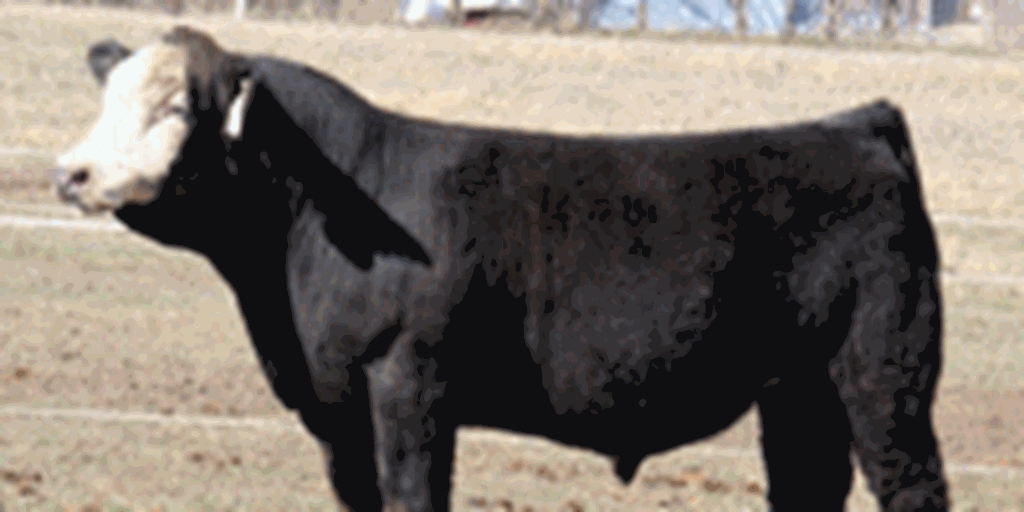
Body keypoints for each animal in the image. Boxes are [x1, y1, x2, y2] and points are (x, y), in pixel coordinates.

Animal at [51, 26, 949, 511]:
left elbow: (414, 493)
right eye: (107, 97)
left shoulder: (409, 380)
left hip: (883, 378)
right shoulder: (335, 410)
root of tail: (857, 124)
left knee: (912, 485)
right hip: (798, 391)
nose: (71, 173)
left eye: (174, 107)